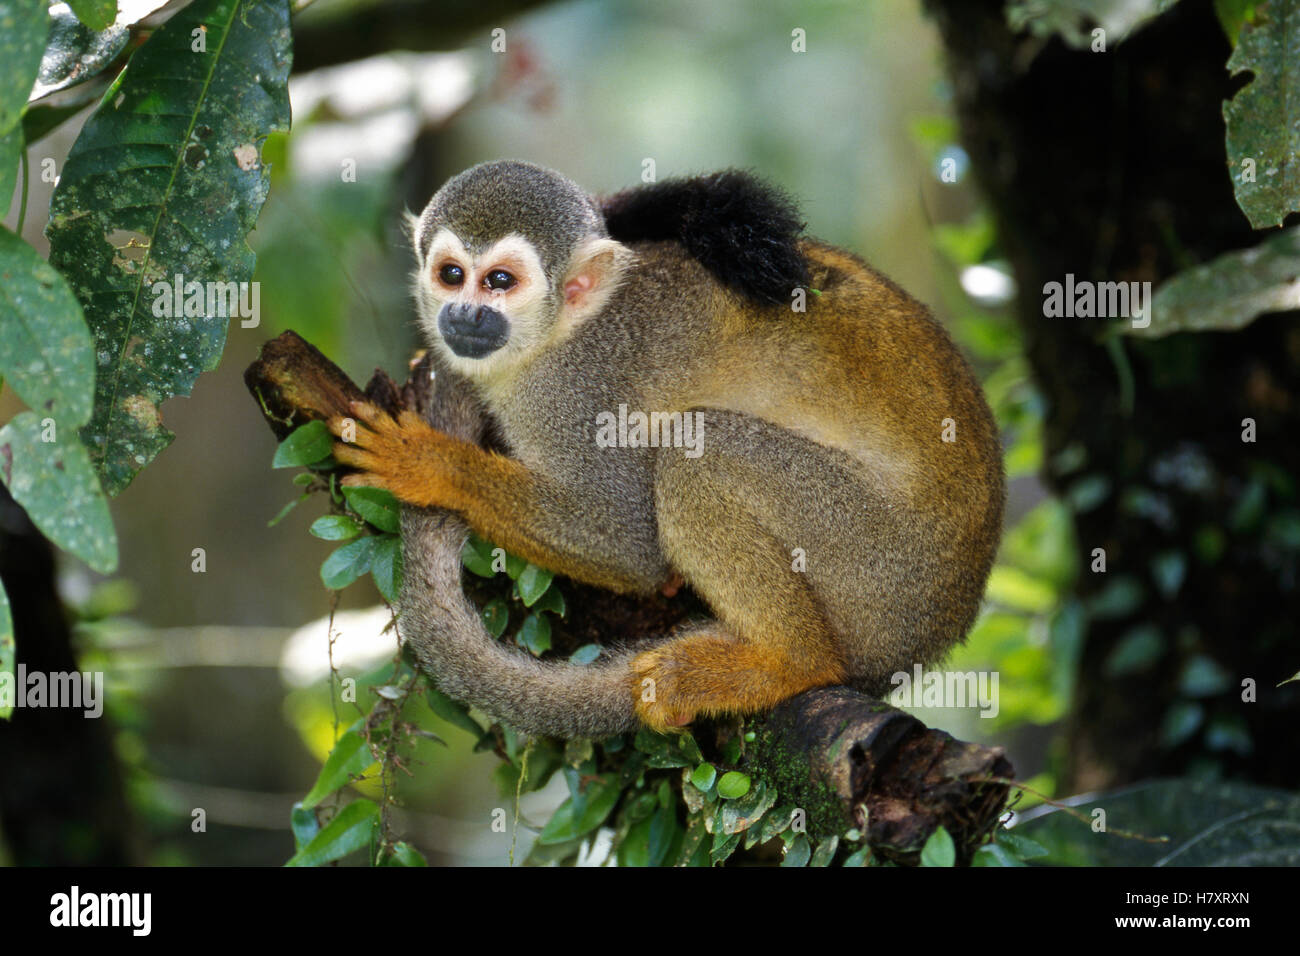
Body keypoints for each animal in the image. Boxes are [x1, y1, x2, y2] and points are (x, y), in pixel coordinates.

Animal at [328, 159, 1005, 737]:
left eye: (500, 281)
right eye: (451, 275)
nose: (464, 316)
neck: (562, 331)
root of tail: (933, 636)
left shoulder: (576, 392)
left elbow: (629, 545)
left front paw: (430, 465)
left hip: (879, 565)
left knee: (695, 456)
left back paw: (788, 663)